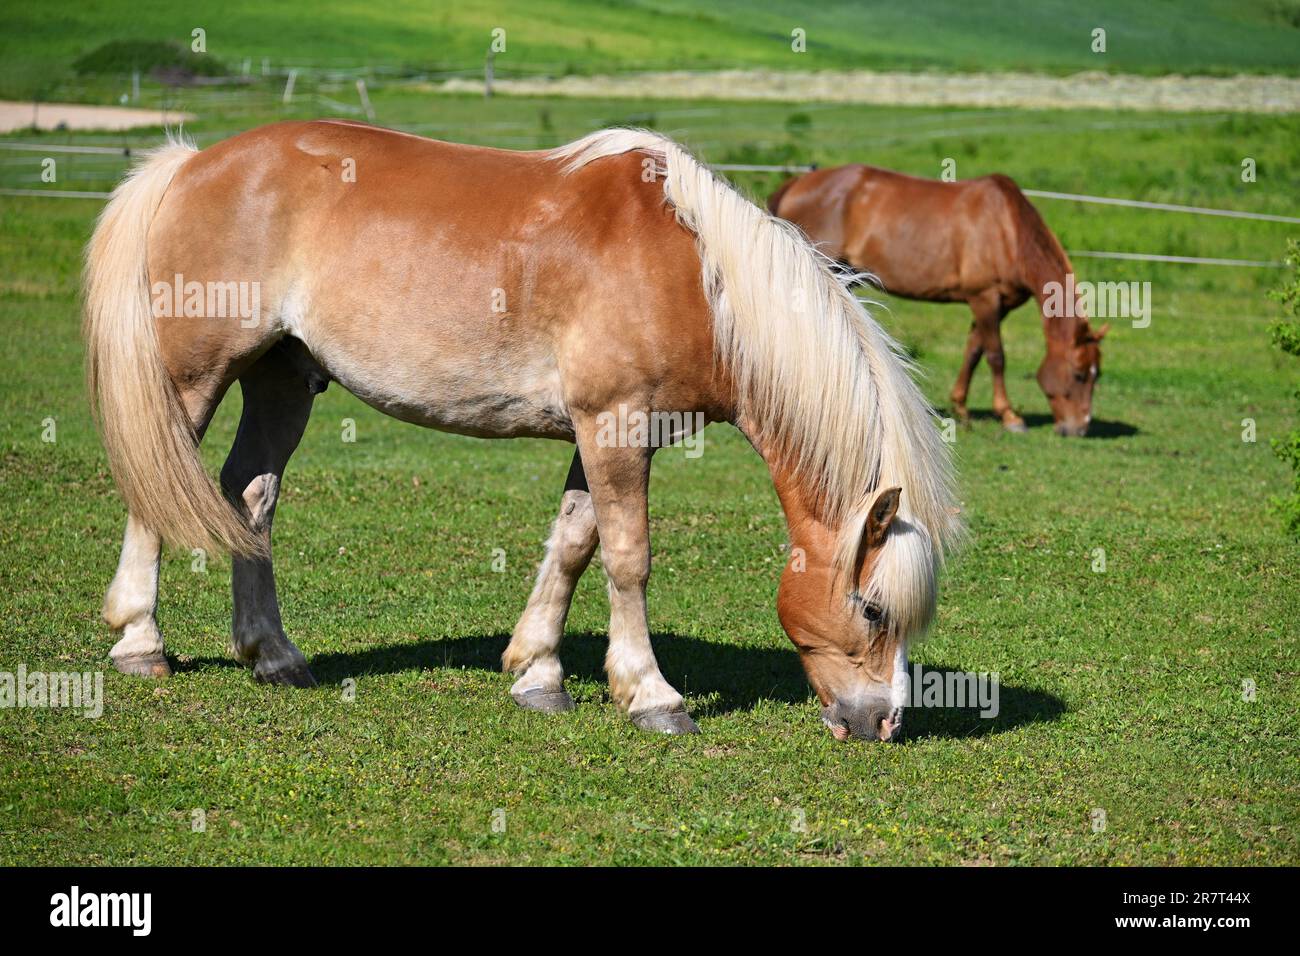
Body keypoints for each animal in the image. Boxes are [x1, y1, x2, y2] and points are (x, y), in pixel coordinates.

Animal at [84, 121, 960, 742]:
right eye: (872, 610)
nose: (883, 723)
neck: (699, 279)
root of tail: (190, 163)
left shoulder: (601, 435)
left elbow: (573, 544)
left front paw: (537, 674)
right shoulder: (616, 426)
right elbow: (628, 558)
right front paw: (651, 695)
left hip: (282, 380)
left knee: (249, 497)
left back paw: (273, 654)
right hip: (195, 377)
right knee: (158, 486)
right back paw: (140, 645)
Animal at [768, 165, 1109, 436]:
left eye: (1098, 376)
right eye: (1079, 375)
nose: (1078, 429)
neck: (1007, 229)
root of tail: (797, 183)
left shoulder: (993, 306)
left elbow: (973, 352)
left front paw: (961, 408)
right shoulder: (985, 298)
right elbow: (996, 356)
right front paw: (1010, 416)